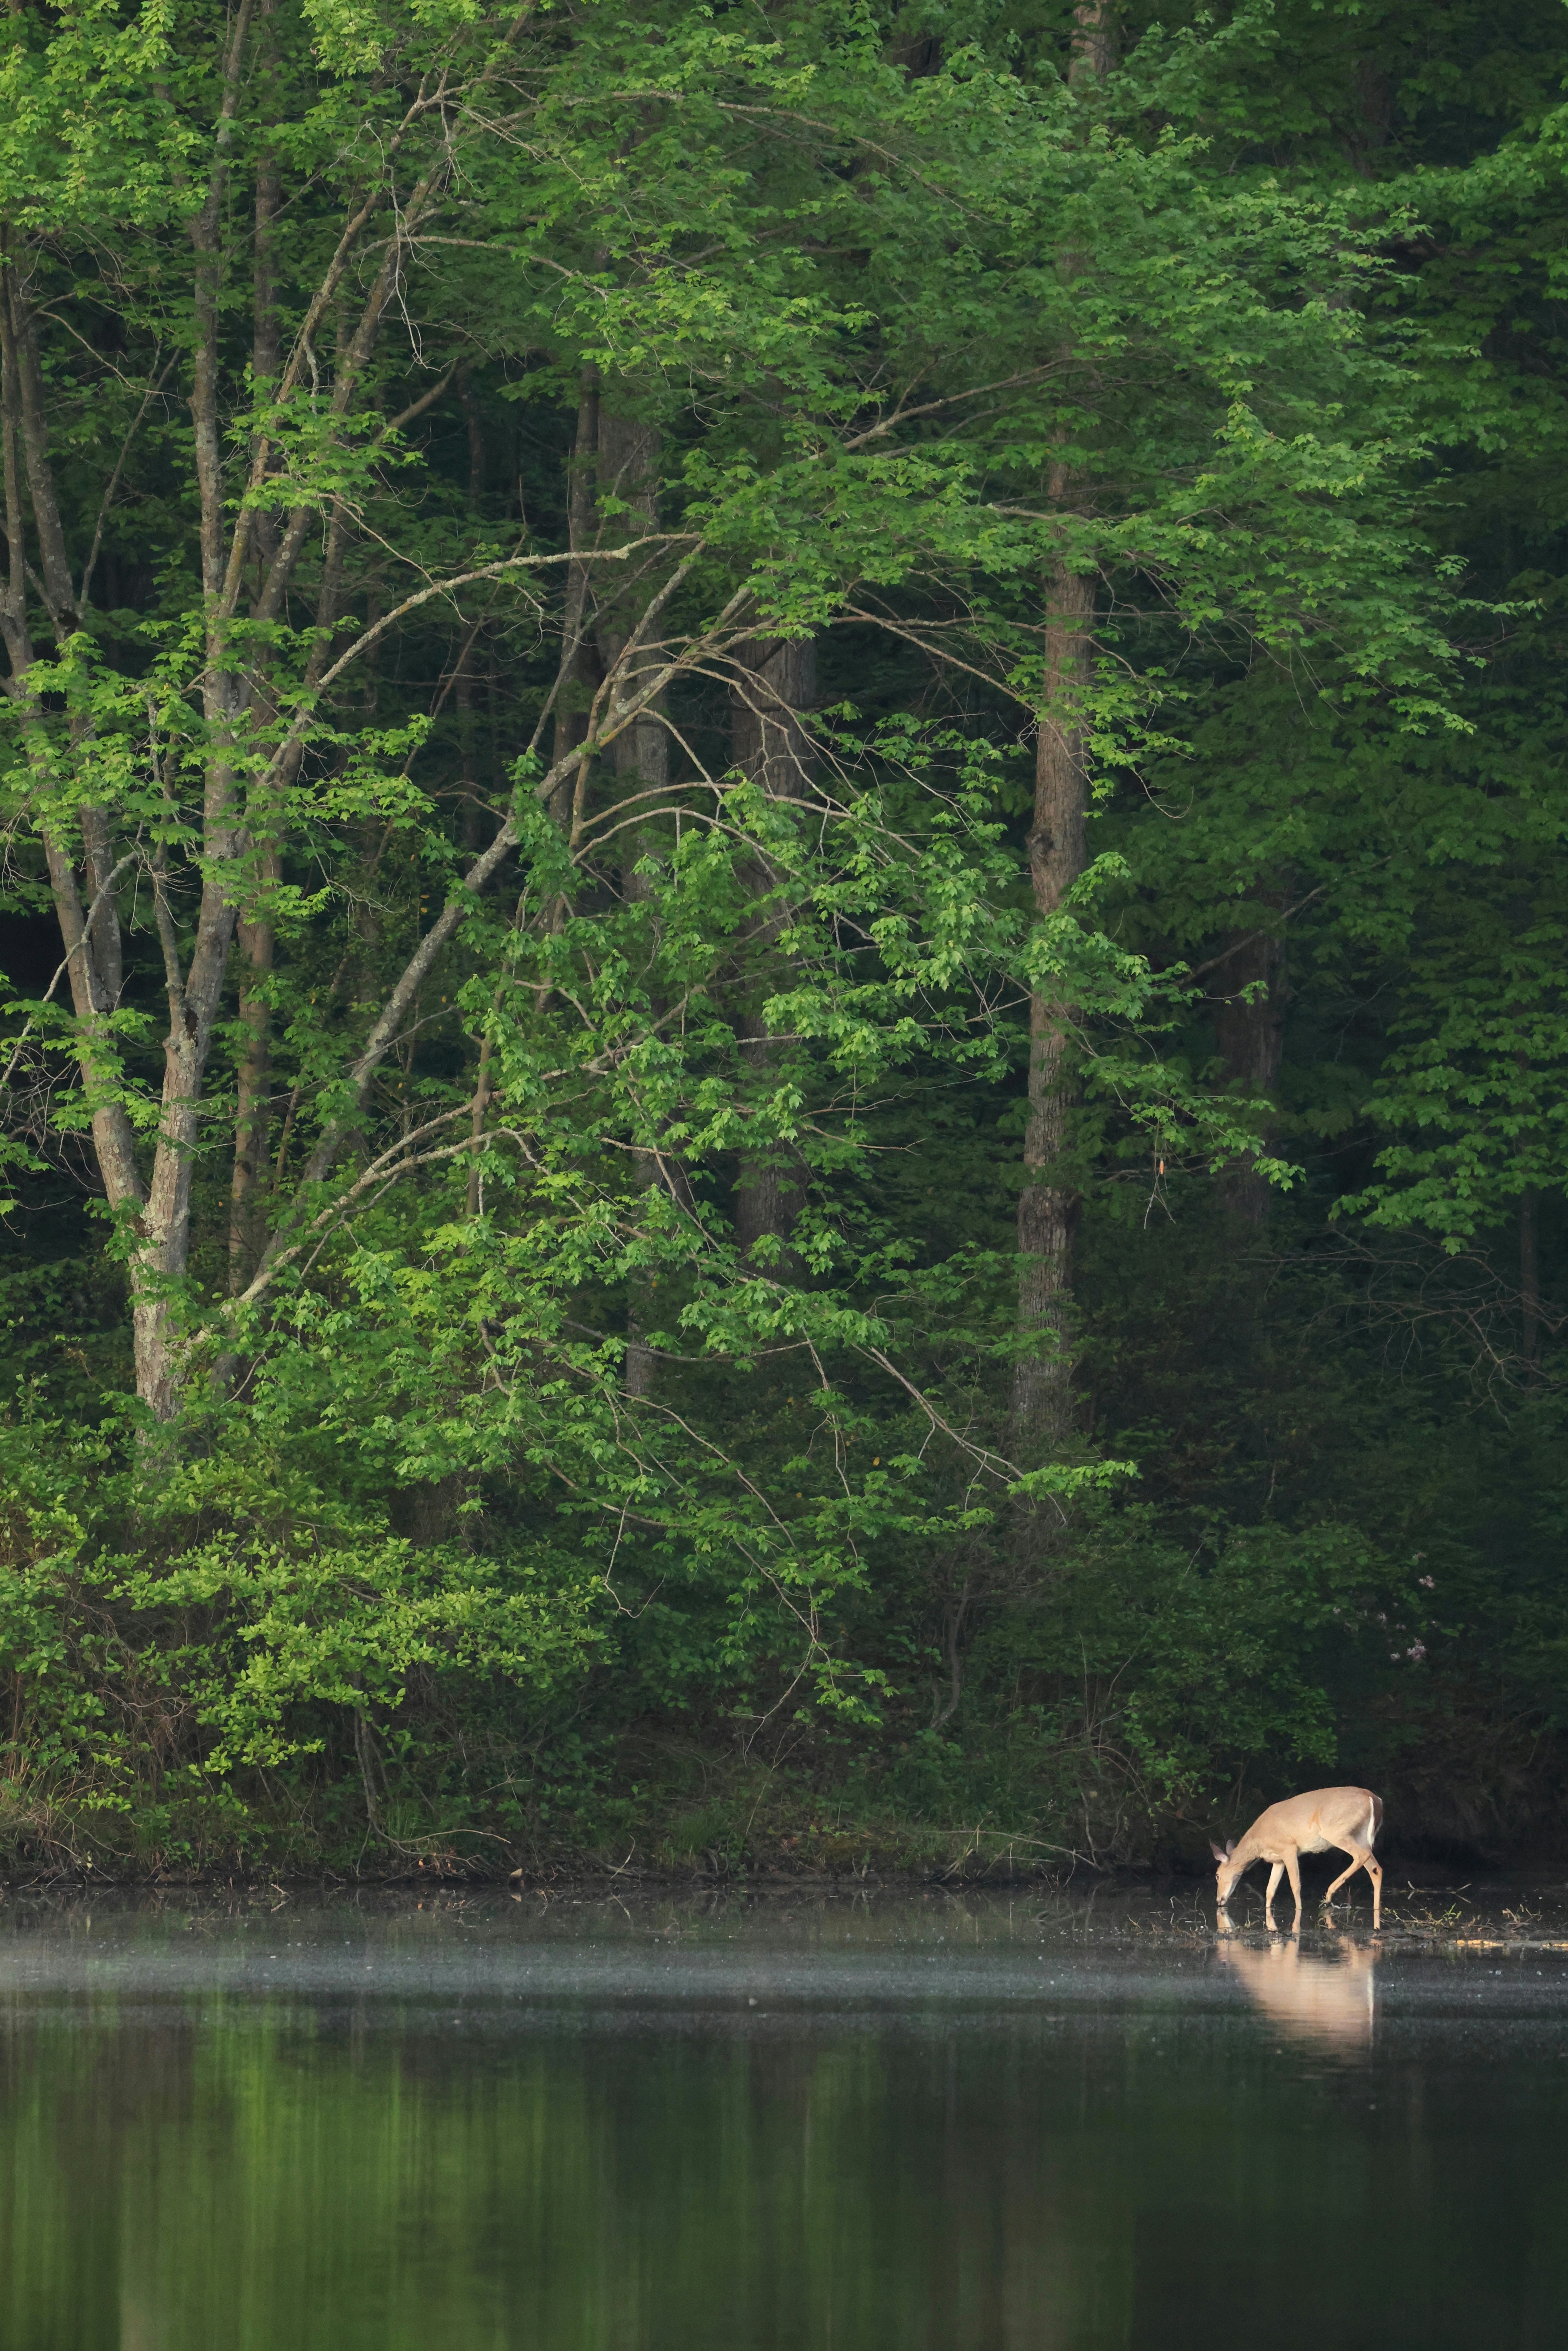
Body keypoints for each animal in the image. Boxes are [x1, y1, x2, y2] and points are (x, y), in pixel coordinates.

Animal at [1210, 1786, 1383, 1932]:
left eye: (1217, 1875)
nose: (1219, 1900)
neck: (1258, 1841)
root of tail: (1374, 1799)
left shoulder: (1289, 1848)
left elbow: (1295, 1884)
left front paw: (1299, 1911)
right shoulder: (1278, 1860)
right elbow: (1270, 1890)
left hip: (1337, 1831)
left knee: (1361, 1856)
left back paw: (1328, 1896)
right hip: (1360, 1835)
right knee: (1376, 1869)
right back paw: (1376, 1911)